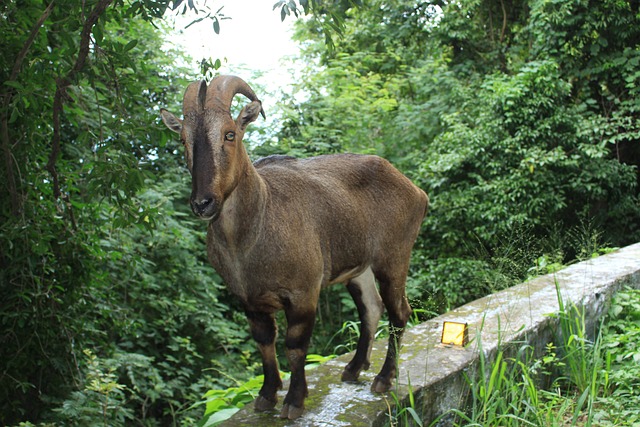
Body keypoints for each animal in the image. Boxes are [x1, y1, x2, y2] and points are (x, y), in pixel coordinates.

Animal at [160, 76, 428, 420]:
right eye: (183, 139)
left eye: (229, 134)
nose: (202, 203)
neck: (249, 239)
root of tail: (416, 190)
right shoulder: (248, 299)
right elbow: (264, 341)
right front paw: (266, 395)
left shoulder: (303, 292)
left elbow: (295, 345)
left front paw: (294, 401)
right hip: (359, 269)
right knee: (371, 308)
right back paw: (353, 368)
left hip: (393, 258)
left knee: (399, 312)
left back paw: (382, 379)